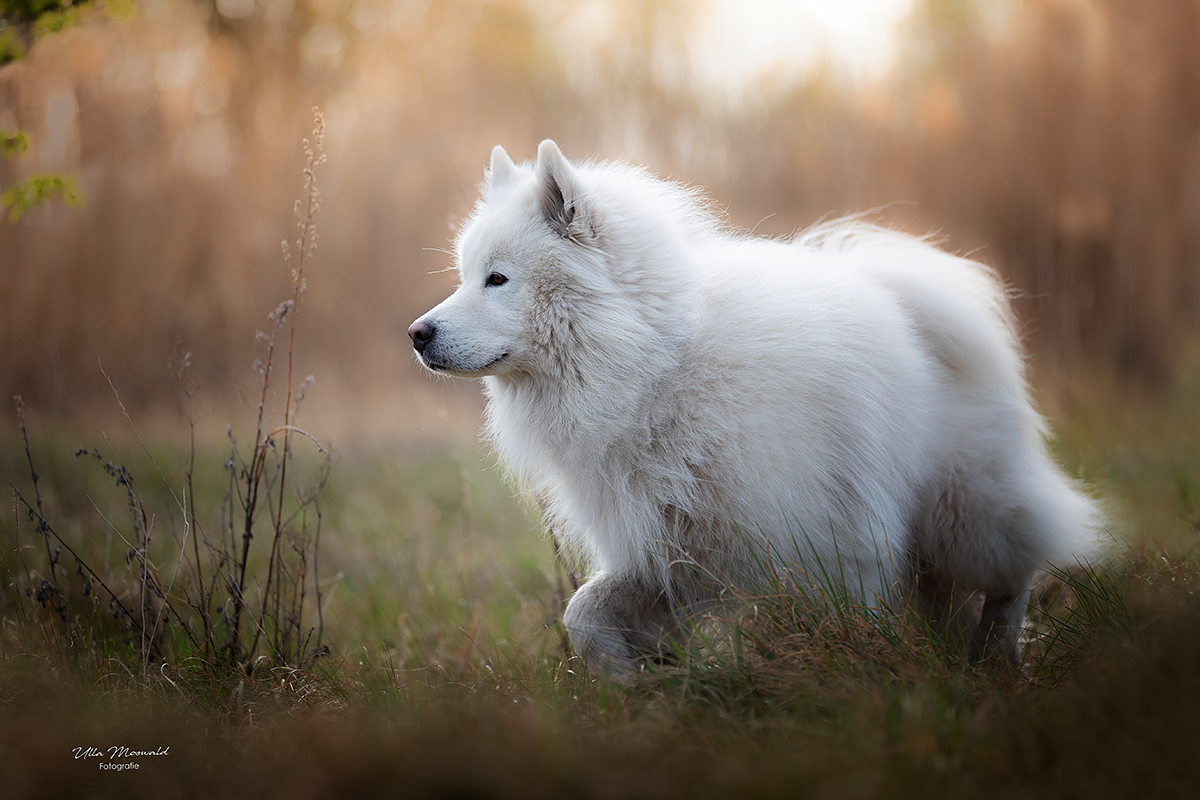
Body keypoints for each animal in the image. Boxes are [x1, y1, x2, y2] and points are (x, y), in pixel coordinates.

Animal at [410, 139, 1104, 676]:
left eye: (497, 279)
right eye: (466, 274)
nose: (417, 333)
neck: (654, 365)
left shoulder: (831, 536)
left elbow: (854, 621)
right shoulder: (665, 551)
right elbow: (581, 612)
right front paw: (629, 682)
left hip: (963, 513)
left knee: (1014, 572)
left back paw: (999, 656)